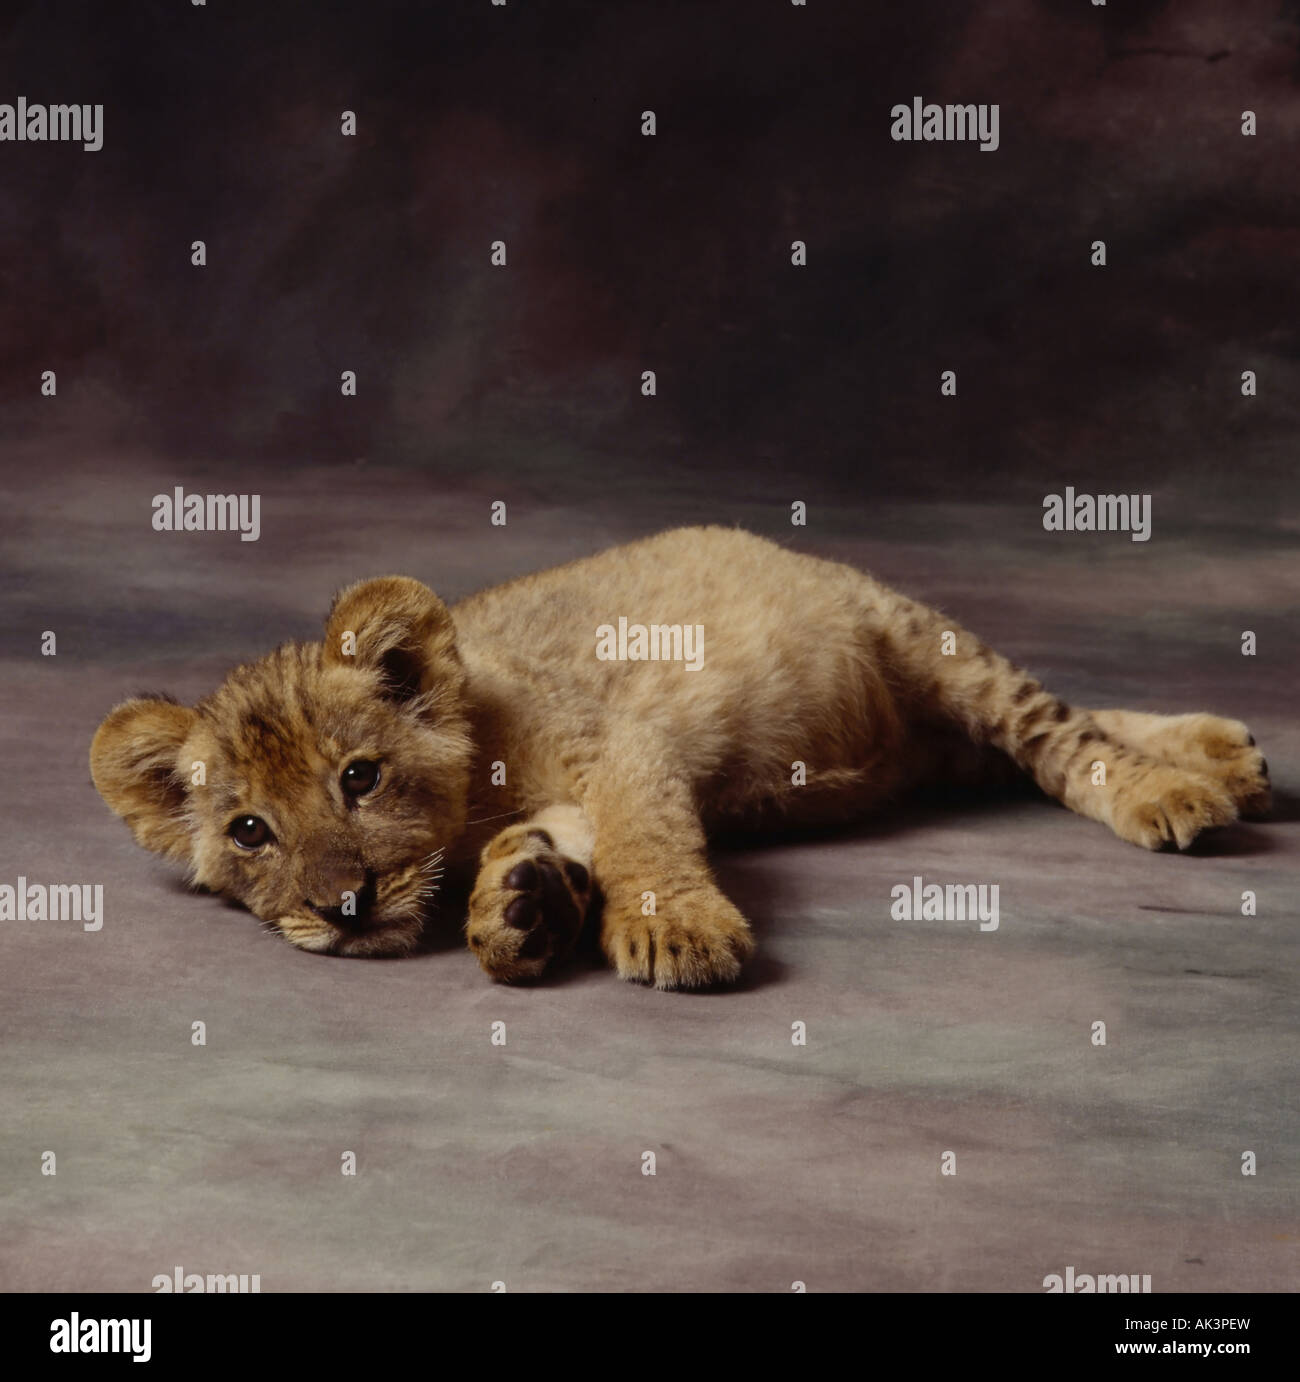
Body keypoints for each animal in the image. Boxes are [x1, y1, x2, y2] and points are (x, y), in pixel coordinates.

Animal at [90, 526, 1270, 988]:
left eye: (359, 776)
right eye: (250, 830)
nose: (342, 906)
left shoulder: (621, 743)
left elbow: (646, 838)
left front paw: (675, 930)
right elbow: (556, 842)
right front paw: (522, 907)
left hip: (924, 639)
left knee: (1057, 733)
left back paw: (1174, 783)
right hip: (925, 736)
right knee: (1007, 748)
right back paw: (1224, 752)